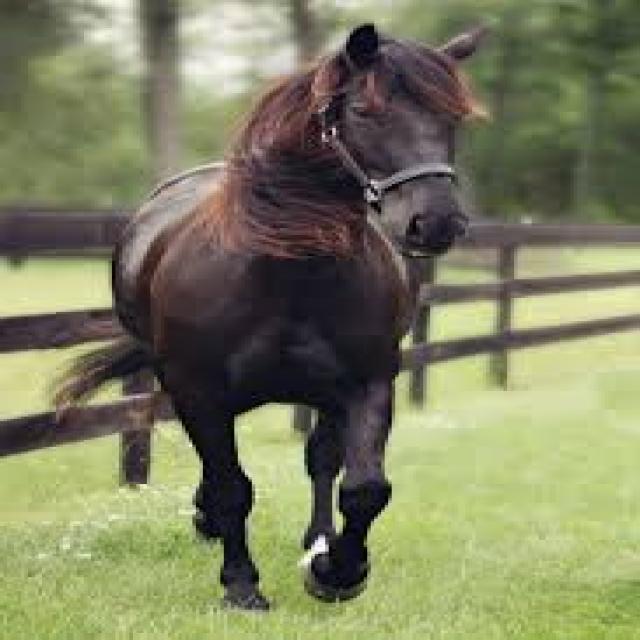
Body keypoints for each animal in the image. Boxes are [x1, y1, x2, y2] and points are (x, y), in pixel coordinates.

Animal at [54, 23, 485, 610]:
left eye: (452, 117)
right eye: (365, 111)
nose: (435, 222)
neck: (286, 275)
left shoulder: (367, 382)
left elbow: (363, 488)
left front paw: (336, 570)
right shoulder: (199, 390)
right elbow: (231, 487)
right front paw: (241, 585)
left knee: (322, 460)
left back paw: (318, 541)